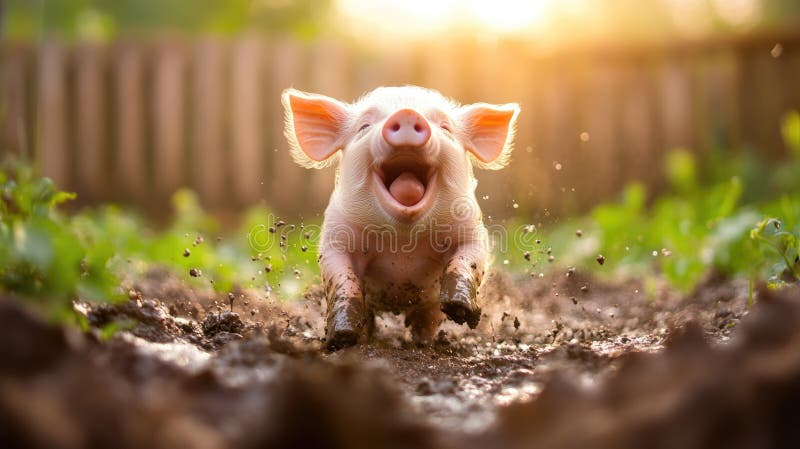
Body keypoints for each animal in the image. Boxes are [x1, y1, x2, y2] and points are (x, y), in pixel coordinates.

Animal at [282, 86, 519, 350]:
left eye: (445, 127)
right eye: (364, 125)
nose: (407, 113)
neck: (403, 241)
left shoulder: (472, 232)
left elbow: (466, 260)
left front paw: (459, 307)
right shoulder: (335, 239)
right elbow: (343, 280)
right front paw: (341, 338)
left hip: (430, 306)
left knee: (427, 319)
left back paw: (425, 343)